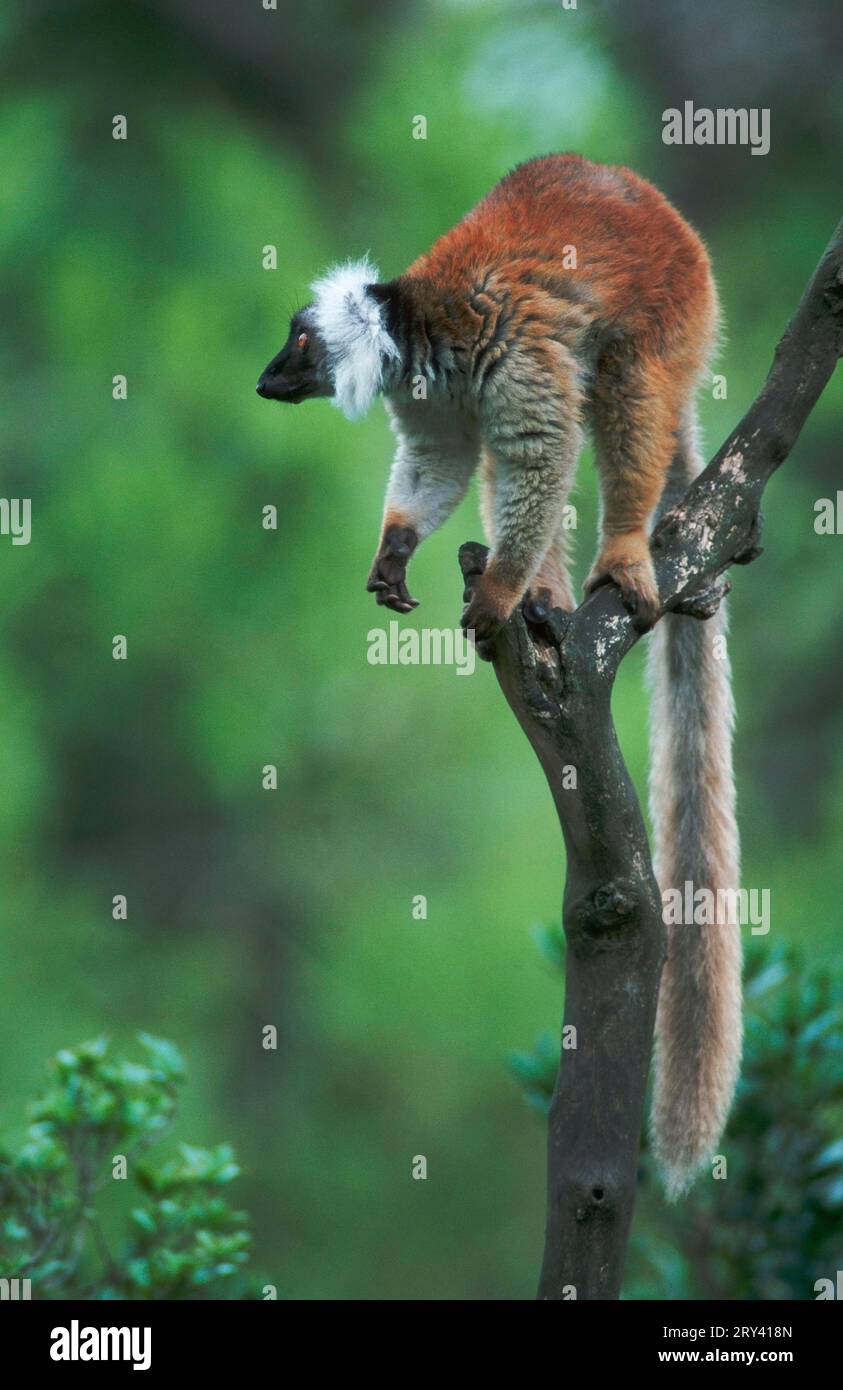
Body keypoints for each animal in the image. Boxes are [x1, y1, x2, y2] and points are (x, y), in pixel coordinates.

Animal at [257, 153, 741, 1199]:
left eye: (300, 343)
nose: (267, 380)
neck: (423, 333)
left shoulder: (510, 353)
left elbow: (541, 450)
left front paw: (501, 592)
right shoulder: (432, 400)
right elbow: (442, 458)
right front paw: (398, 550)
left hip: (681, 307)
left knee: (627, 387)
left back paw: (611, 557)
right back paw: (548, 596)